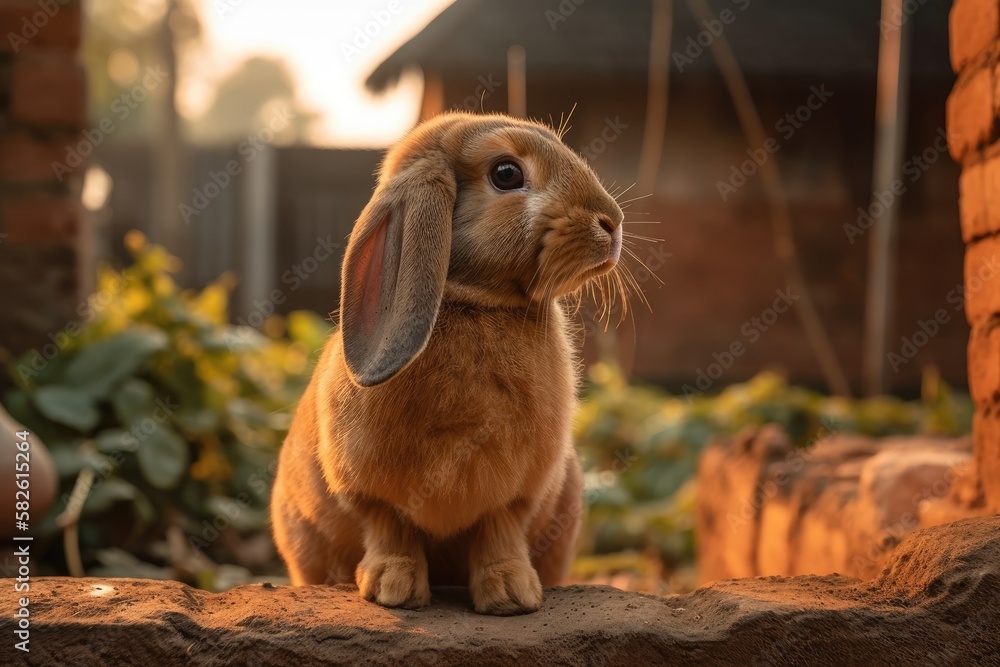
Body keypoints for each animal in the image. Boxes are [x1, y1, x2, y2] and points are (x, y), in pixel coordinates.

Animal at [271, 111, 624, 616]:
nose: (611, 223)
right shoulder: (371, 494)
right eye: (506, 173)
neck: (474, 303)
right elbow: (391, 531)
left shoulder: (516, 495)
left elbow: (499, 534)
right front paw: (393, 590)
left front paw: (512, 595)